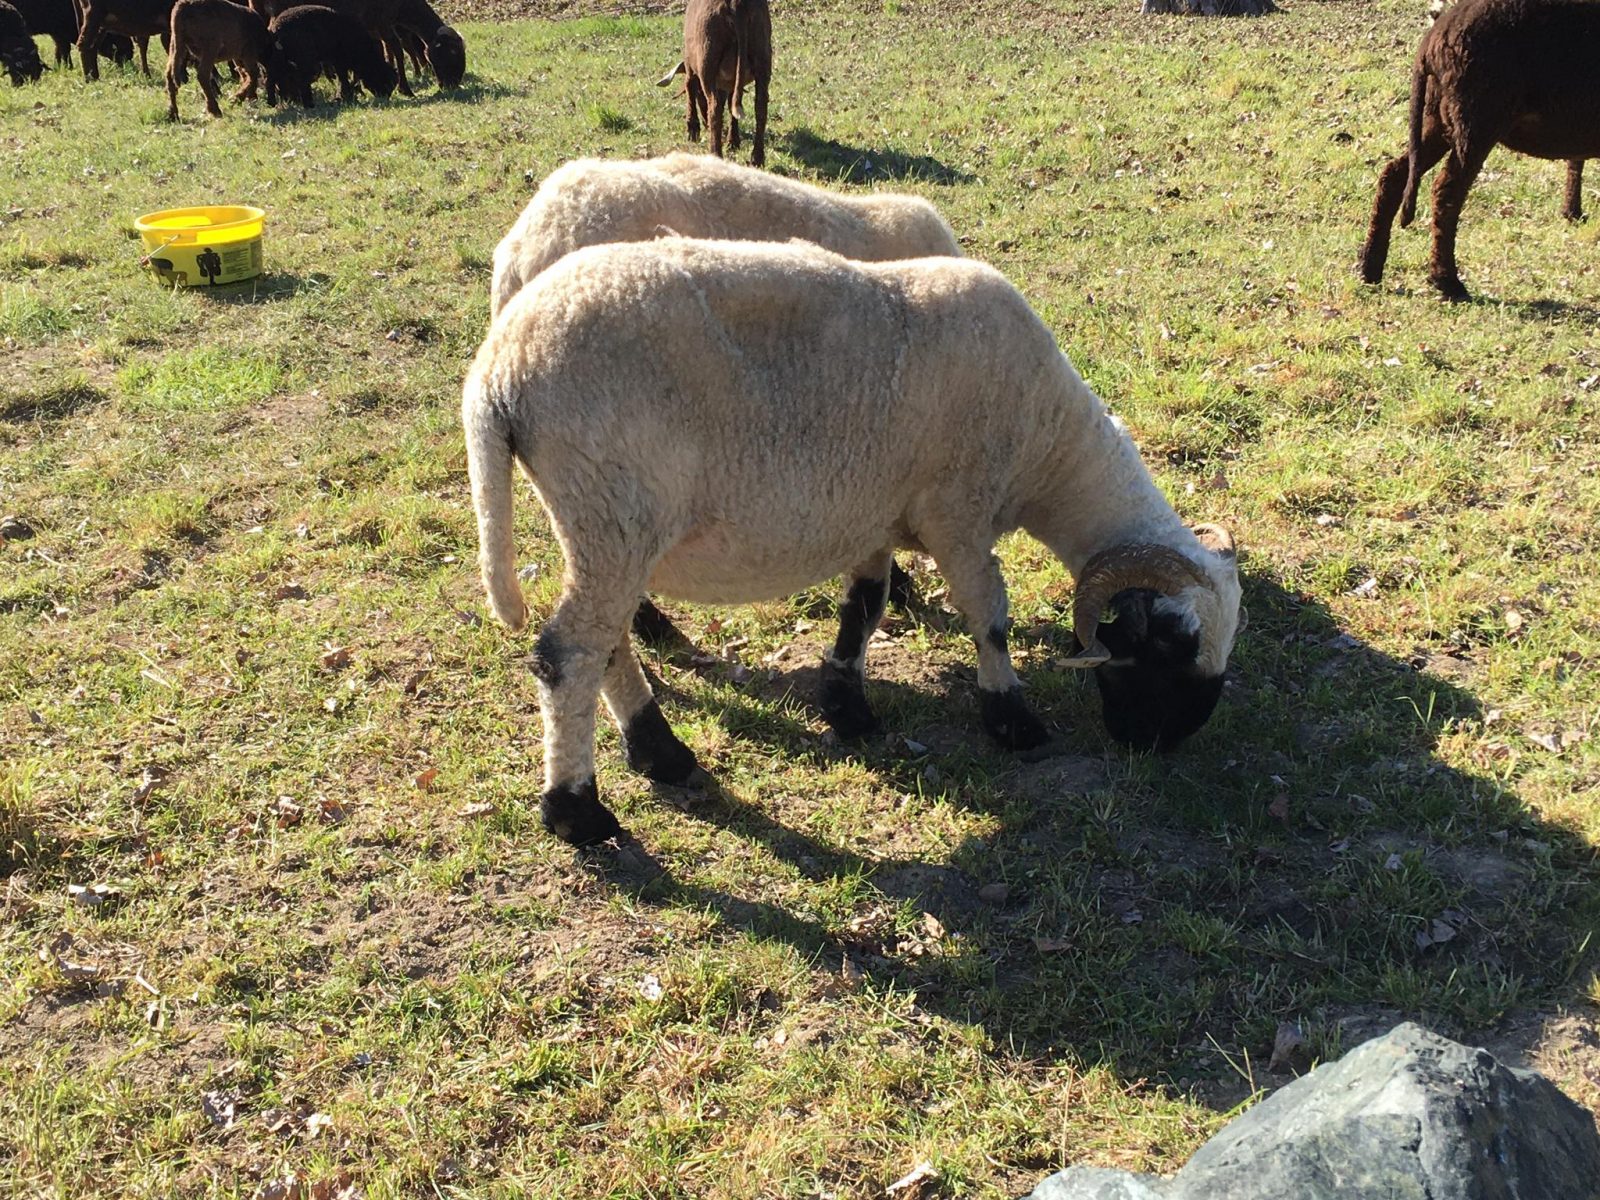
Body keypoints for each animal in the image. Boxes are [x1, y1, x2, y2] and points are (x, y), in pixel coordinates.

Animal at [263, 4, 394, 107]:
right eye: (385, 81)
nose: (385, 97)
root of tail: (277, 29)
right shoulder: (340, 59)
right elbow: (343, 77)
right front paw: (344, 96)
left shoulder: (337, 60)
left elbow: (342, 77)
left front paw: (344, 96)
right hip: (303, 58)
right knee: (301, 79)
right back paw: (309, 104)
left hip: (278, 58)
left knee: (270, 78)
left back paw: (272, 102)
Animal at [462, 237, 1244, 847]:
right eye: (1166, 649)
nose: (1163, 744)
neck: (1048, 448)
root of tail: (497, 373)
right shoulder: (957, 510)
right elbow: (989, 616)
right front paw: (1012, 718)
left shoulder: (874, 513)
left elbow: (864, 608)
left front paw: (847, 704)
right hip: (613, 507)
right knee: (568, 654)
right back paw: (579, 812)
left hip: (603, 525)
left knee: (608, 642)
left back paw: (661, 754)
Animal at [657, 0, 771, 167]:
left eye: (700, 96)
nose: (705, 125)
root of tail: (737, 5)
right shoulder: (732, 82)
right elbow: (731, 102)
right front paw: (733, 141)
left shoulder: (690, 65)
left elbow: (690, 88)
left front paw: (693, 129)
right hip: (762, 55)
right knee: (760, 108)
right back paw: (757, 158)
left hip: (708, 59)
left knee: (715, 109)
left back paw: (715, 153)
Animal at [1358, 0, 1600, 300]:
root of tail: (1435, 36)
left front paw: (1572, 212)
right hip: (1476, 120)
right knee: (1446, 192)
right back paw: (1447, 282)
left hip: (1437, 119)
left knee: (1393, 175)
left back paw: (1369, 268)